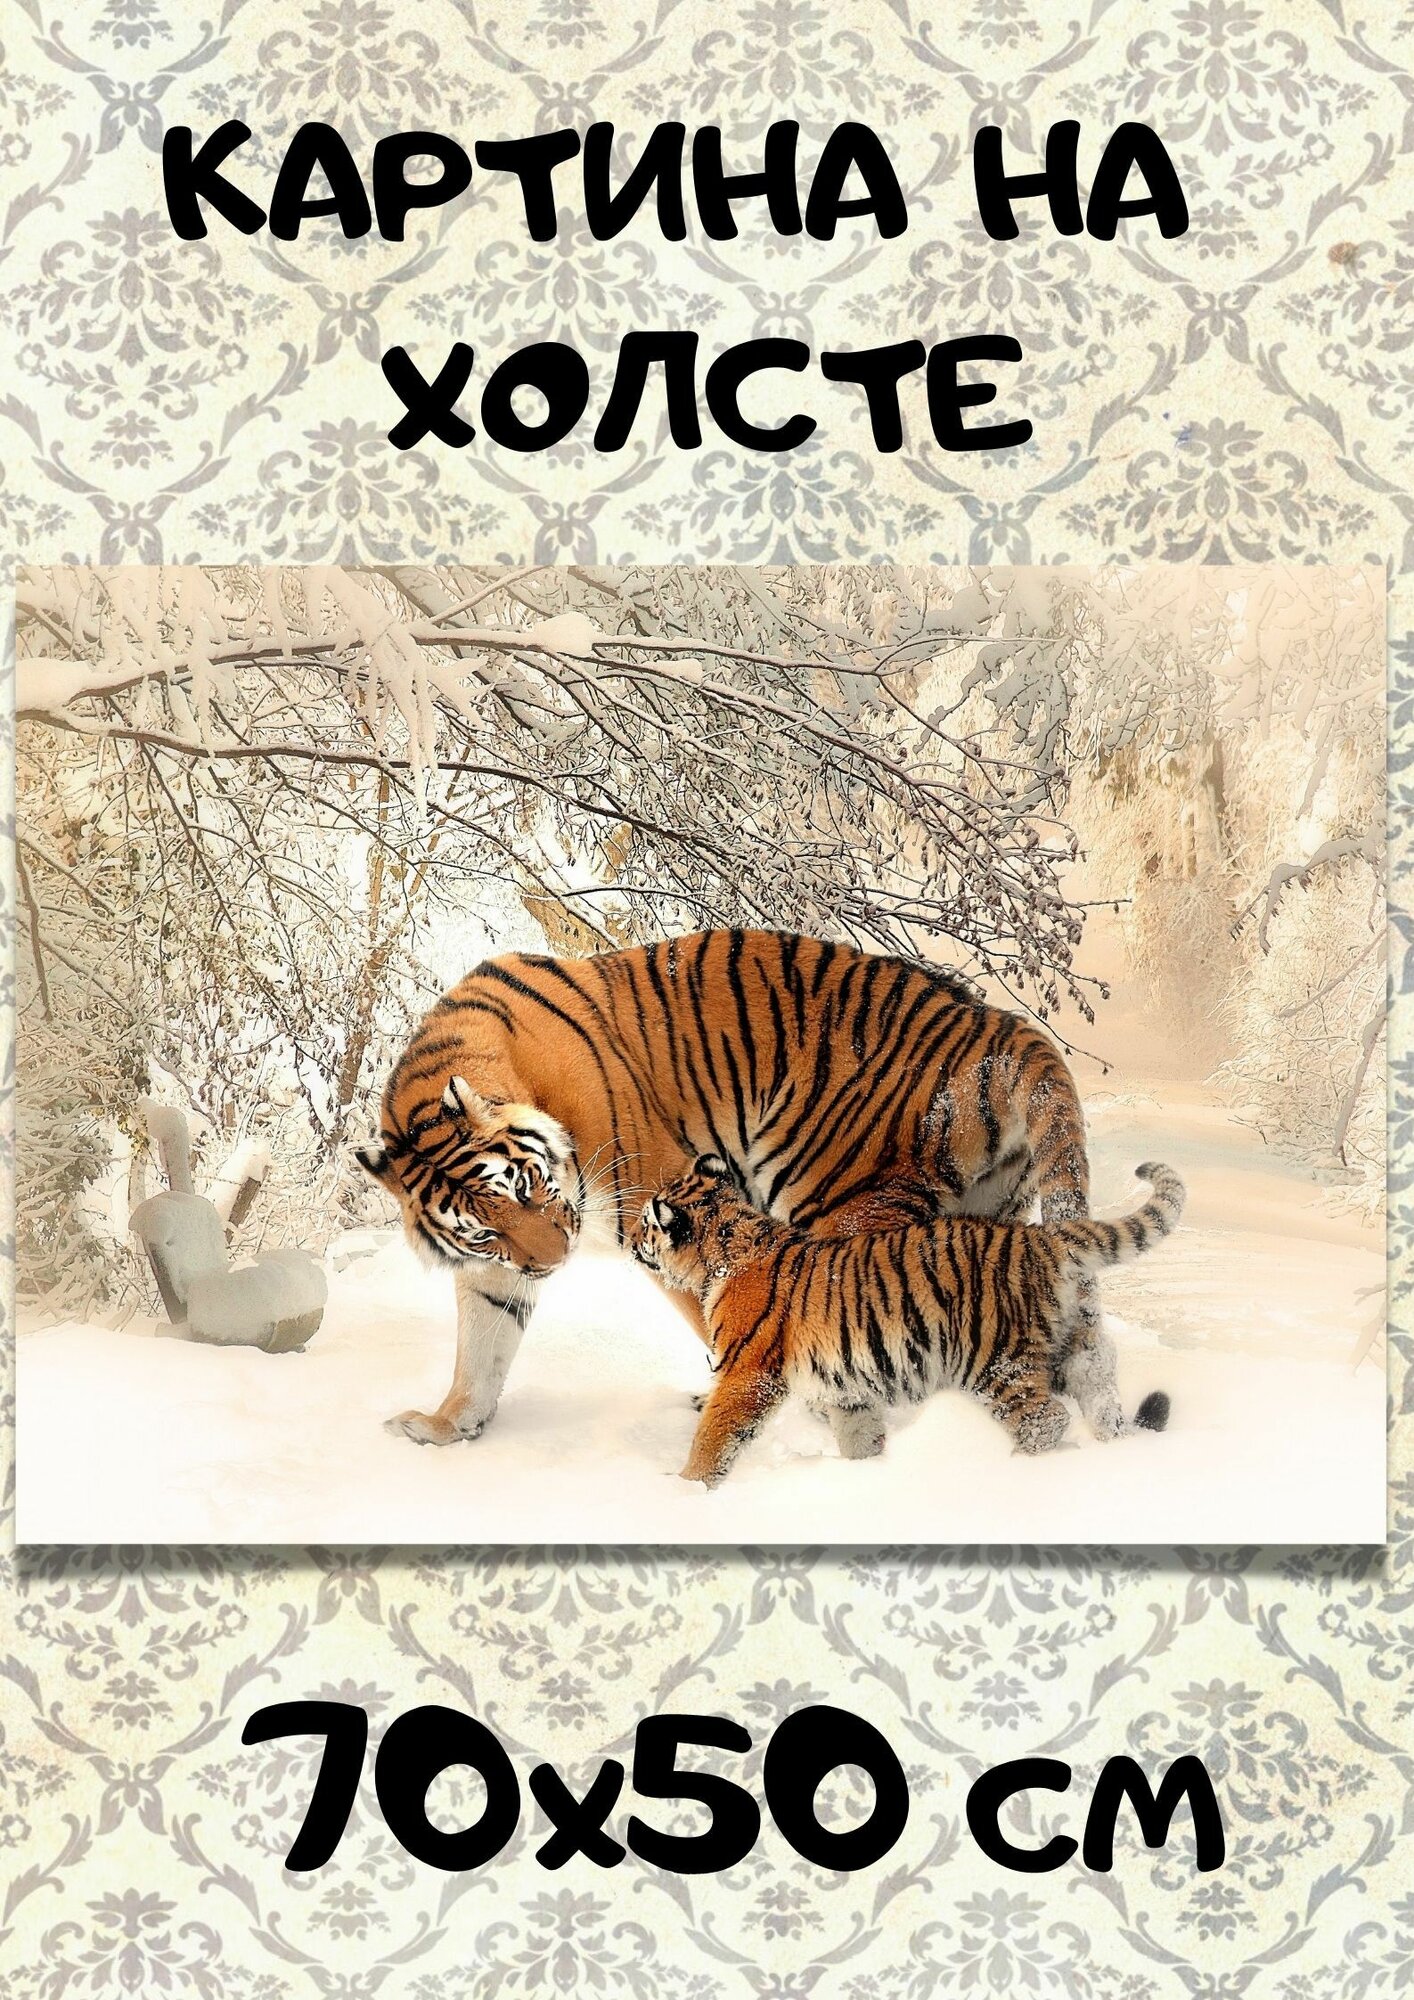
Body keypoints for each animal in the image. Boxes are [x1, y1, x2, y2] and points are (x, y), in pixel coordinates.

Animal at [357, 929, 1111, 1448]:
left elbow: (722, 1315)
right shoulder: (496, 1269)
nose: (553, 1262)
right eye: (485, 1228)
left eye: (527, 1186)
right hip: (985, 1217)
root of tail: (1001, 1025)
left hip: (842, 1199)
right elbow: (481, 1349)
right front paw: (446, 1426)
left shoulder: (661, 1204)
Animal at [631, 1153, 1182, 1486]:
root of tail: (1040, 1237)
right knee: (1099, 1391)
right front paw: (869, 1474)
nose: (632, 1241)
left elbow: (714, 1435)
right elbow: (859, 1434)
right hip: (1068, 1348)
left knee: (1046, 1419)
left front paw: (686, 1490)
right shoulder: (846, 1387)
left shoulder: (747, 1374)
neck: (725, 1248)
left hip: (994, 1360)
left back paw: (1013, 1469)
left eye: (647, 1223)